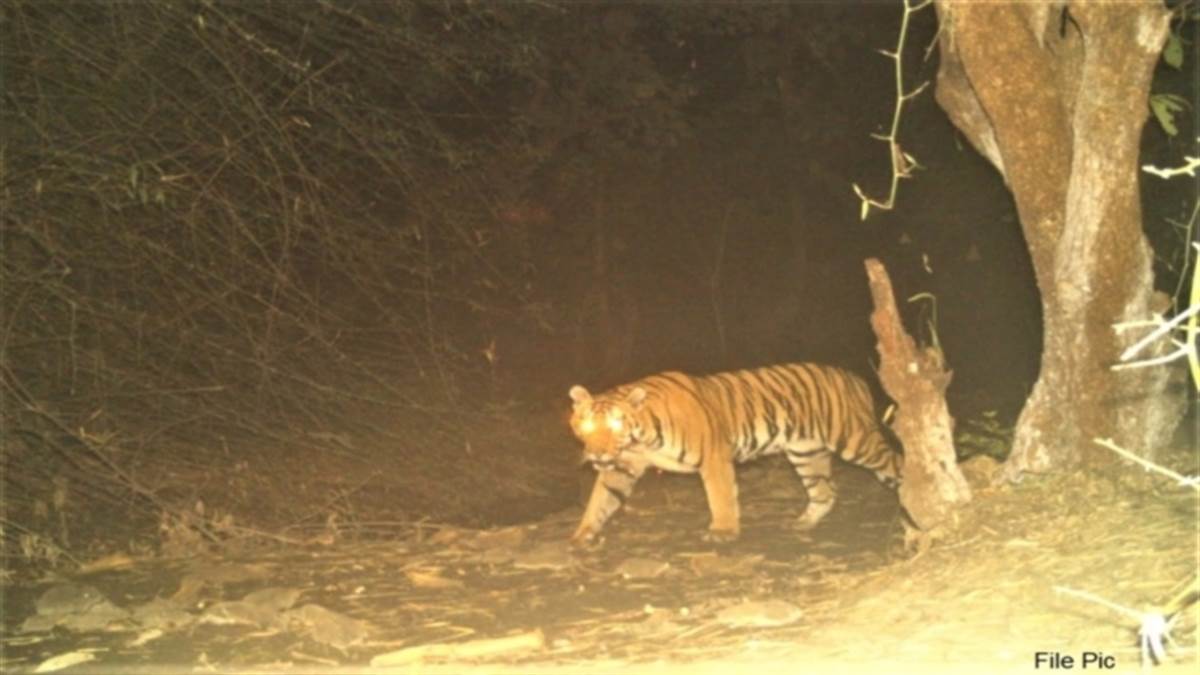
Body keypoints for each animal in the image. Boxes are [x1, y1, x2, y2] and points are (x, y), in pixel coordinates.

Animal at [568, 362, 903, 546]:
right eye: (587, 424)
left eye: (615, 424)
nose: (596, 454)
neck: (641, 438)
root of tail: (856, 378)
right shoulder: (620, 466)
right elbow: (600, 500)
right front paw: (582, 534)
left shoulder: (714, 456)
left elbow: (721, 496)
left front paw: (723, 532)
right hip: (806, 452)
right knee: (824, 491)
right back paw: (803, 523)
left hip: (856, 440)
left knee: (896, 462)